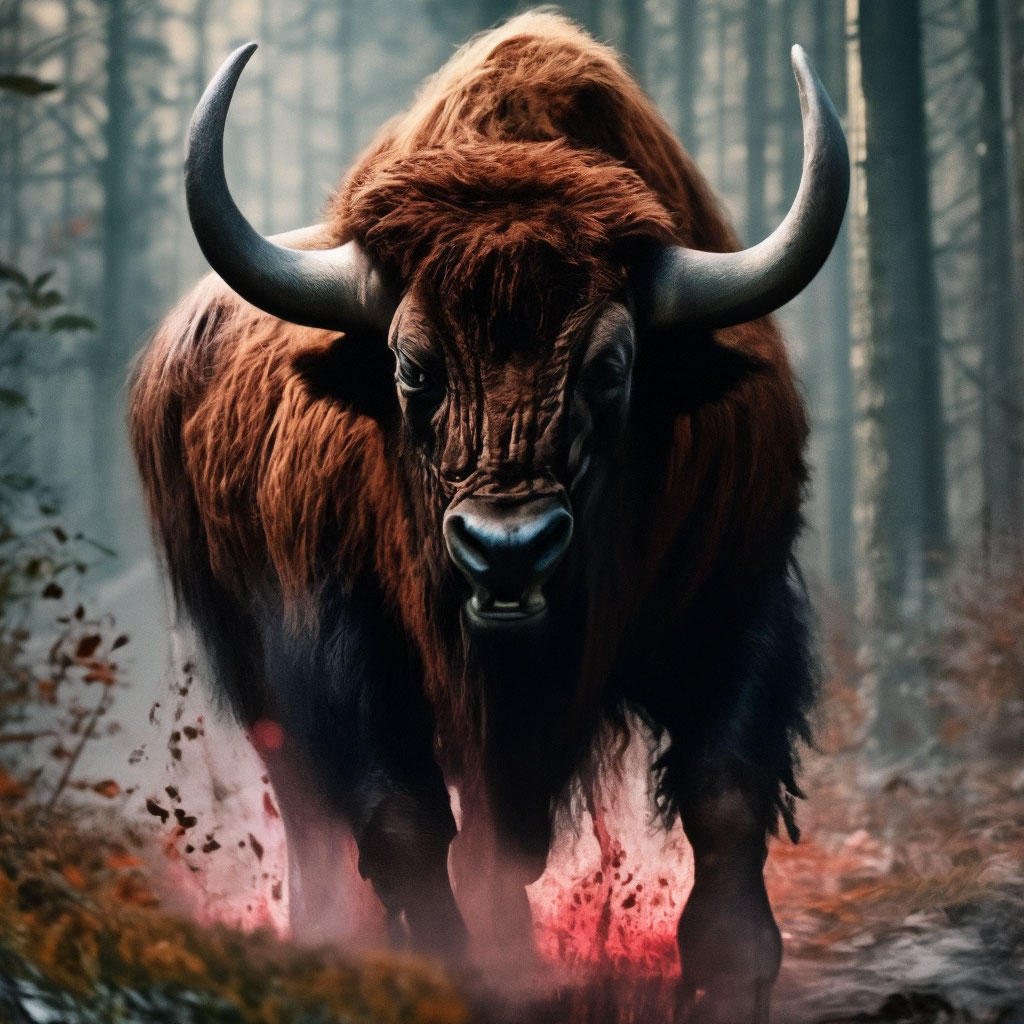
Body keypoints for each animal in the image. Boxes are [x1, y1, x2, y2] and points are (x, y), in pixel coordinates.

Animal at [130, 12, 848, 1023]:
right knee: (322, 835)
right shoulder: (343, 648)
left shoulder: (737, 605)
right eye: (412, 367)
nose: (507, 551)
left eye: (611, 366)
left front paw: (729, 976)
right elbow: (402, 826)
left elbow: (725, 798)